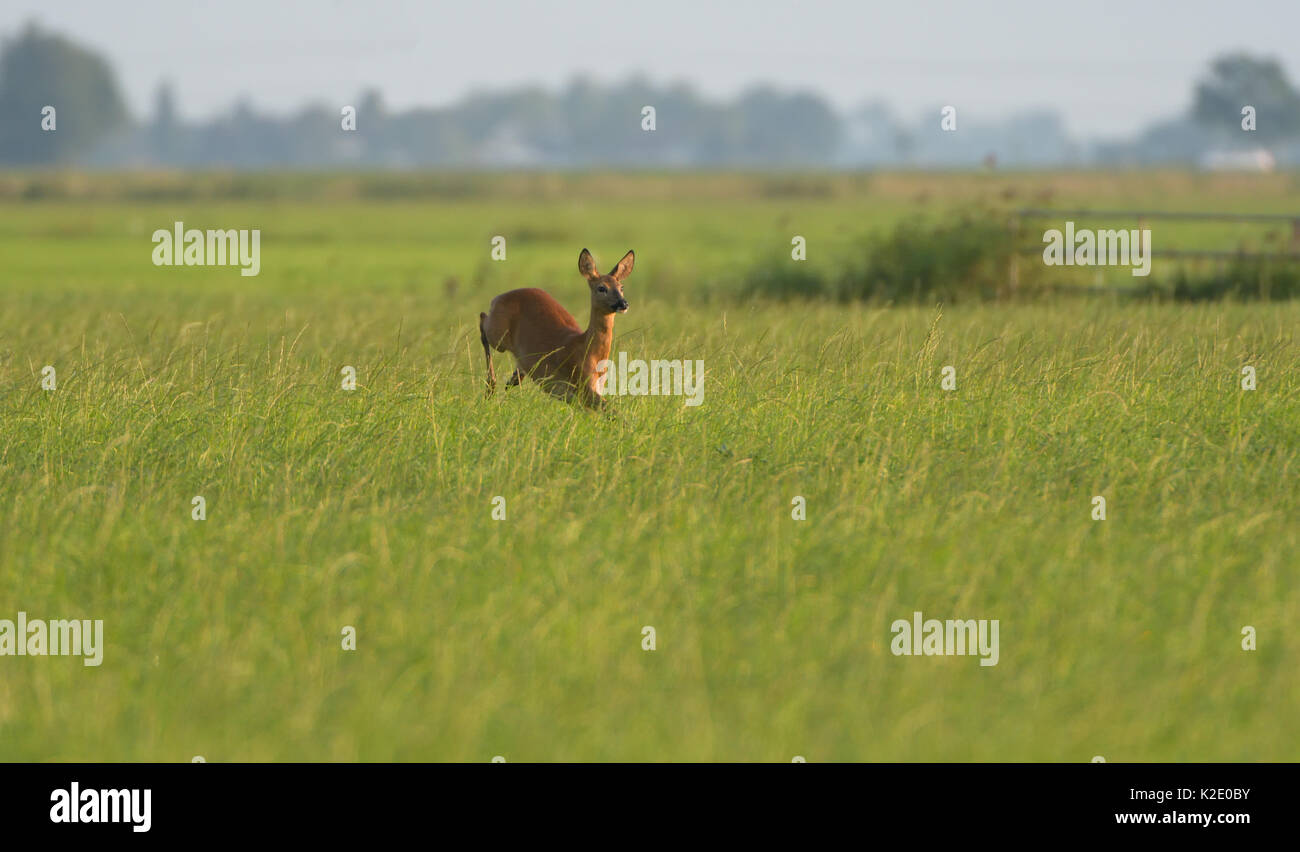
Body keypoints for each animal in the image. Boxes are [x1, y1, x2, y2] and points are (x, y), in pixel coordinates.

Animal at [479, 248, 633, 409]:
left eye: (621, 287)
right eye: (601, 288)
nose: (623, 303)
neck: (588, 351)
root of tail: (498, 298)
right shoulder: (583, 388)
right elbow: (613, 411)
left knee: (512, 378)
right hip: (498, 336)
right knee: (483, 320)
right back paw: (490, 387)